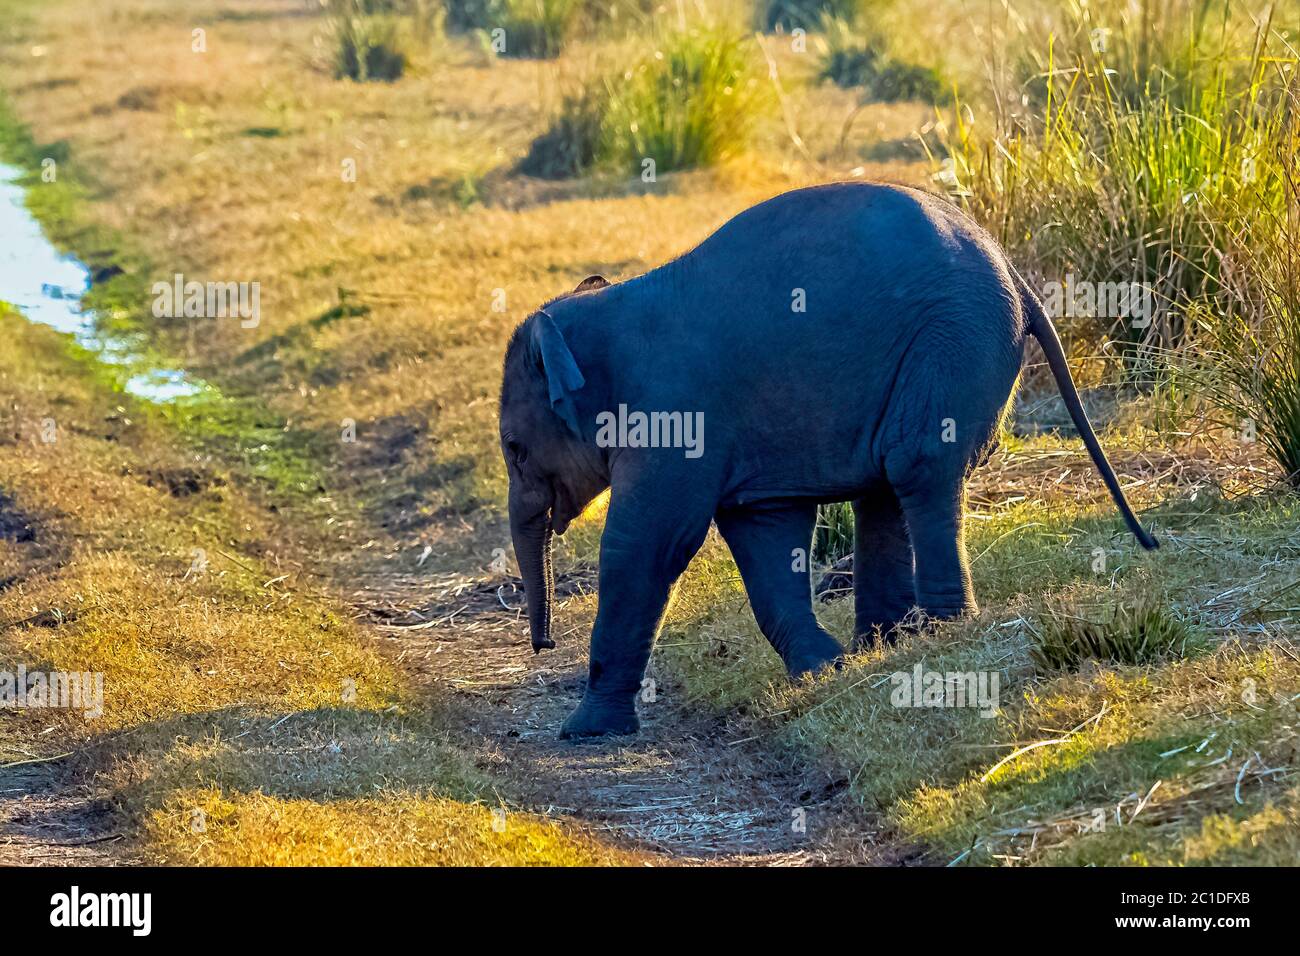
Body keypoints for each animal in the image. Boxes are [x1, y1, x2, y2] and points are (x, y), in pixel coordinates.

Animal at [498, 182, 1158, 739]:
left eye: (513, 448)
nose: (542, 647)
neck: (601, 314)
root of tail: (1019, 280)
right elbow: (764, 533)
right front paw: (826, 671)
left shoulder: (674, 414)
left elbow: (648, 544)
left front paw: (584, 734)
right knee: (887, 486)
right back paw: (883, 648)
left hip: (953, 341)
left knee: (917, 464)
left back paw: (943, 631)